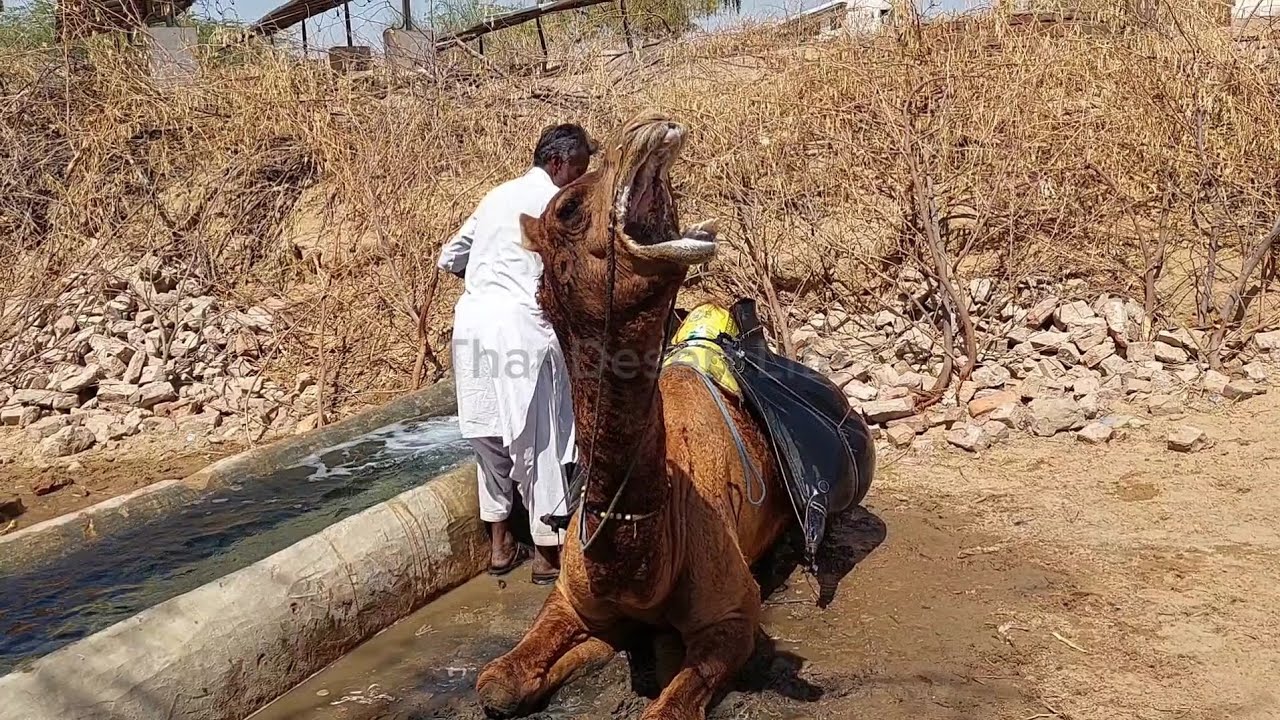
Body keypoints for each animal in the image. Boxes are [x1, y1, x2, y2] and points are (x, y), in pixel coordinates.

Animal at [474, 112, 803, 720]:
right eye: (568, 208)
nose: (651, 125)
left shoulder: (733, 614)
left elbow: (669, 707)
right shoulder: (572, 598)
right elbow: (498, 683)